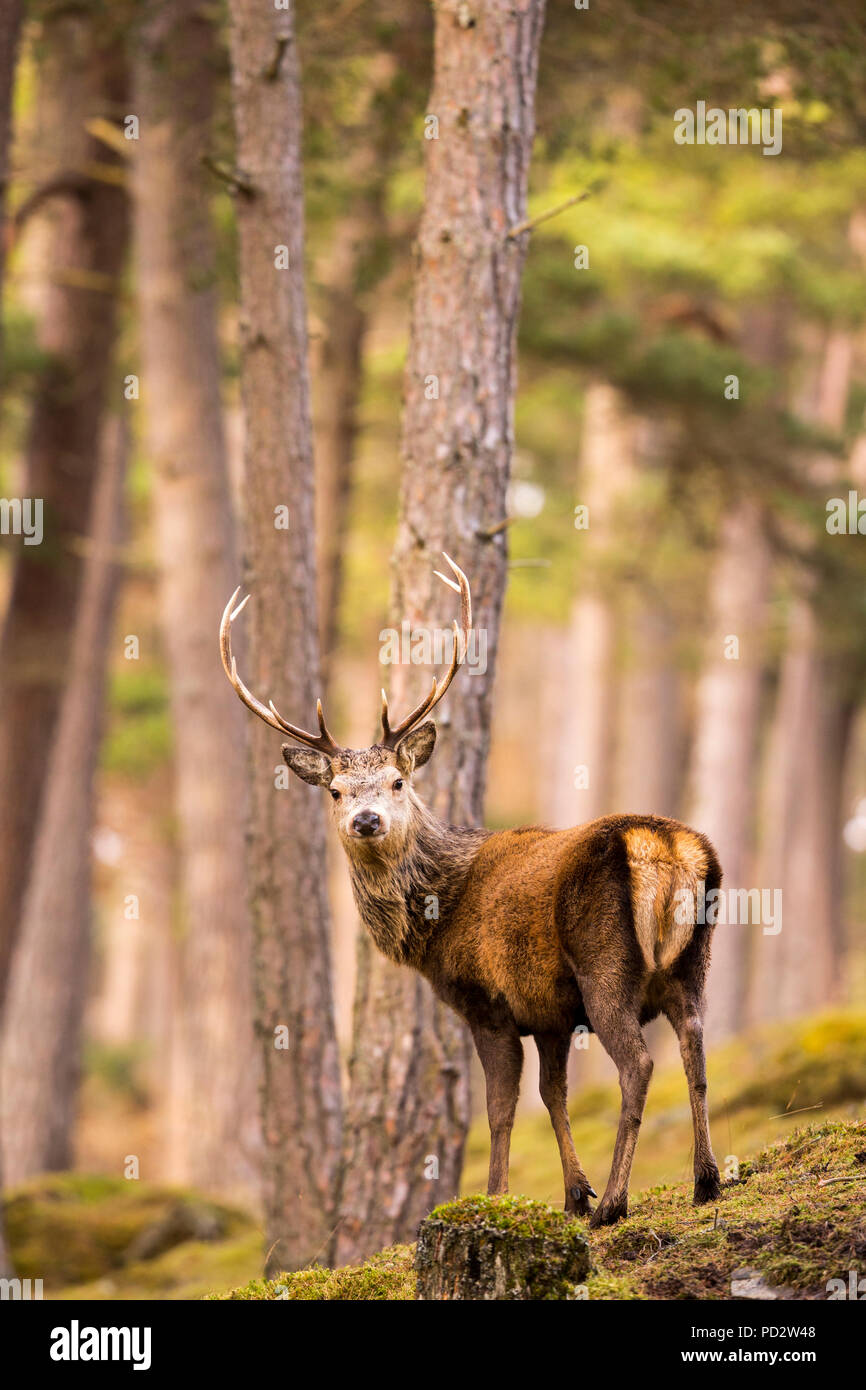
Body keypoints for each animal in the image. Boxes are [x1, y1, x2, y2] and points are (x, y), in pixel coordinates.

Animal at [220, 554, 722, 1227]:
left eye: (398, 781)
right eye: (335, 791)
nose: (366, 820)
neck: (435, 918)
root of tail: (666, 846)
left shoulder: (487, 1002)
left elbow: (501, 1109)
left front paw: (500, 1198)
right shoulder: (548, 1011)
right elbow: (552, 1094)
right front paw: (572, 1193)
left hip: (605, 964)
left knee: (638, 1063)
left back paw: (616, 1203)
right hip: (693, 960)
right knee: (695, 1043)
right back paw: (706, 1180)